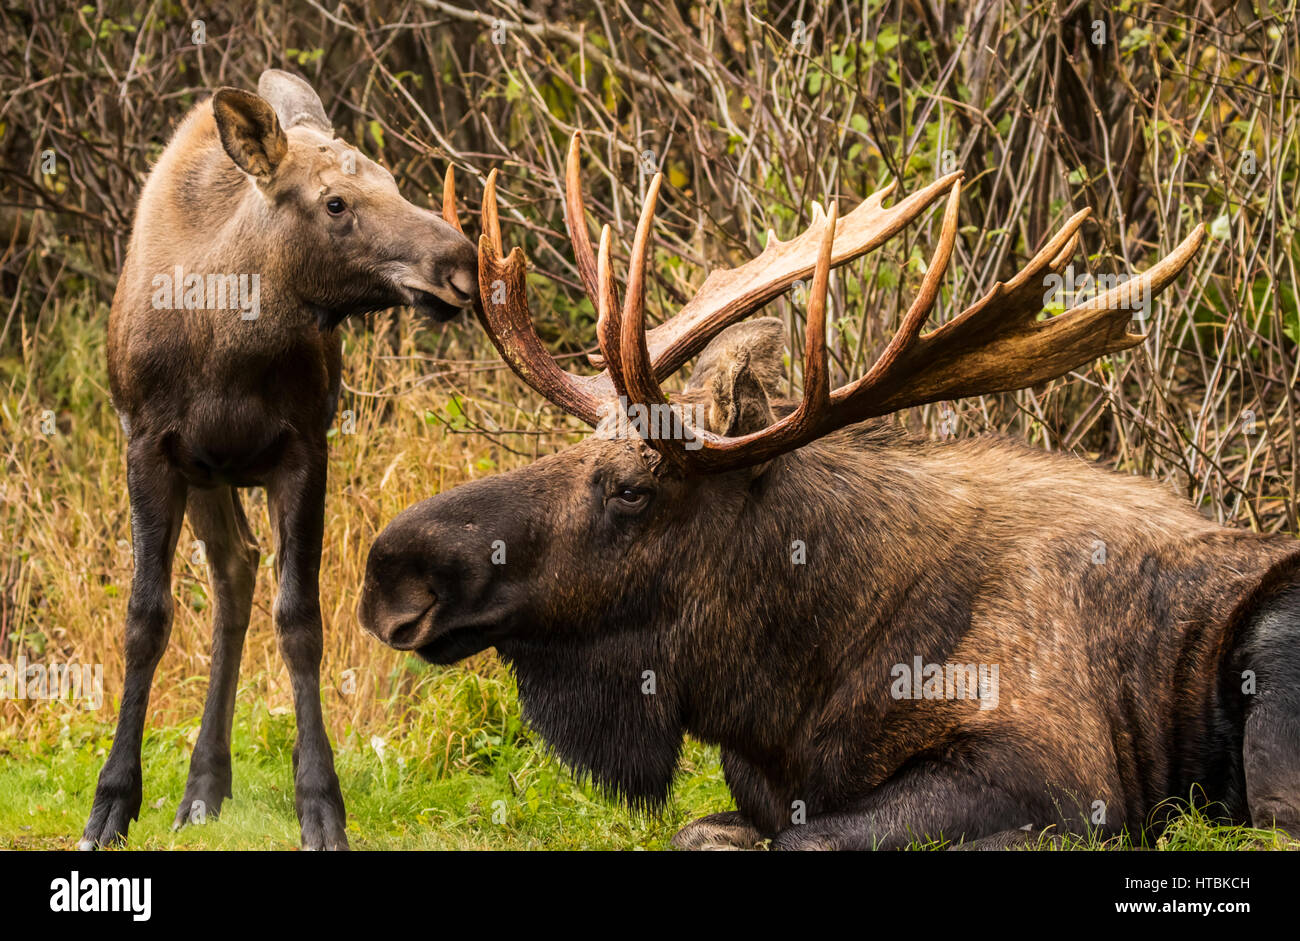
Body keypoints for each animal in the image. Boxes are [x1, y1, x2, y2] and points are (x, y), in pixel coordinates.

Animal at [82, 69, 477, 851]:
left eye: (391, 180)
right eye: (336, 202)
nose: (459, 262)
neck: (226, 351)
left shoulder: (303, 449)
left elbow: (299, 621)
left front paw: (320, 803)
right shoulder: (148, 445)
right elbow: (144, 618)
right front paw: (111, 801)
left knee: (237, 573)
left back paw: (205, 784)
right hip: (204, 472)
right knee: (232, 571)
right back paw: (199, 788)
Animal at [358, 134, 1300, 850]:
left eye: (631, 488)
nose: (388, 570)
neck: (793, 692)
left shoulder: (1056, 767)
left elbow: (806, 840)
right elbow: (704, 831)